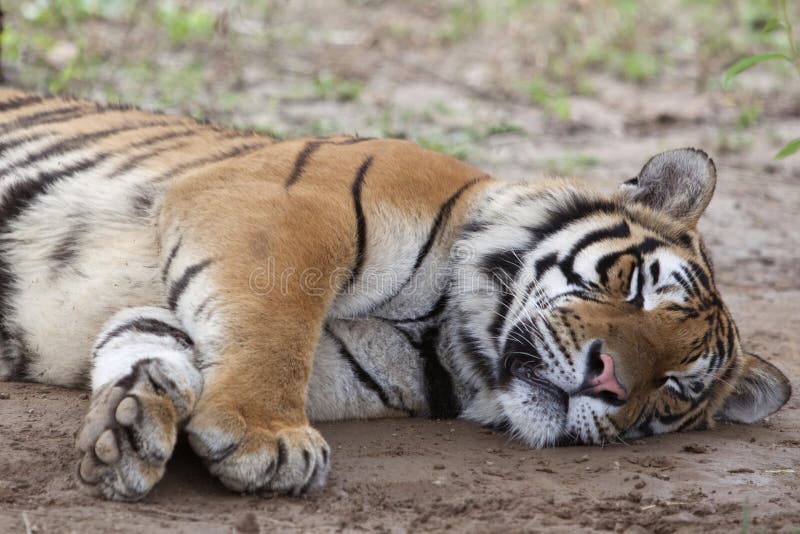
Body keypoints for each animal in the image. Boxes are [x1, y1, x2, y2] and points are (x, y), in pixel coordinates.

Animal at [0, 88, 790, 501]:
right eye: (637, 288)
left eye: (675, 387)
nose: (609, 382)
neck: (449, 334)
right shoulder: (283, 210)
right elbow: (273, 324)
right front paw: (267, 437)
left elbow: (153, 340)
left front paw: (127, 425)